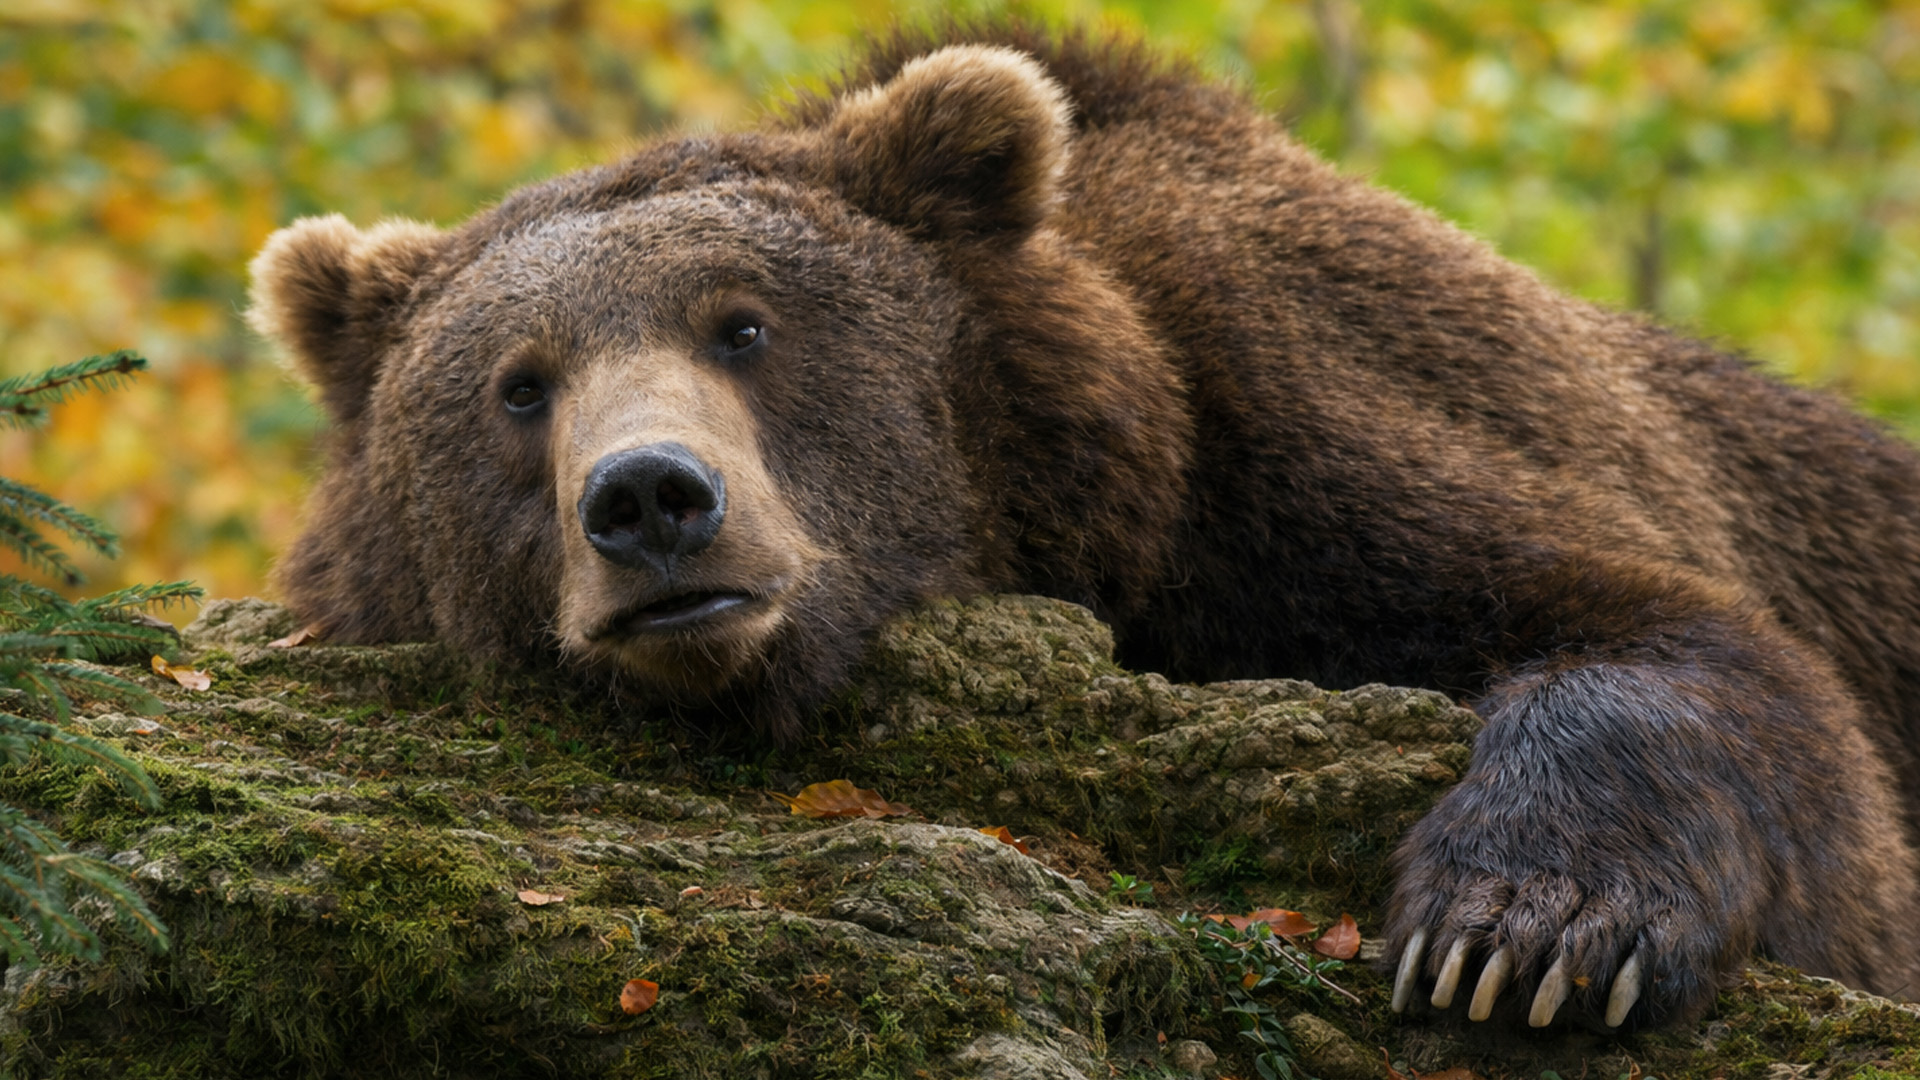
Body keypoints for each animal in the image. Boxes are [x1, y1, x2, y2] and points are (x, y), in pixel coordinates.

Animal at [246, 23, 1920, 1034]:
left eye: (746, 322)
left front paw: (1520, 936)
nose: (651, 501)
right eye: (520, 385)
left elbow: (1674, 639)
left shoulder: (1291, 449)